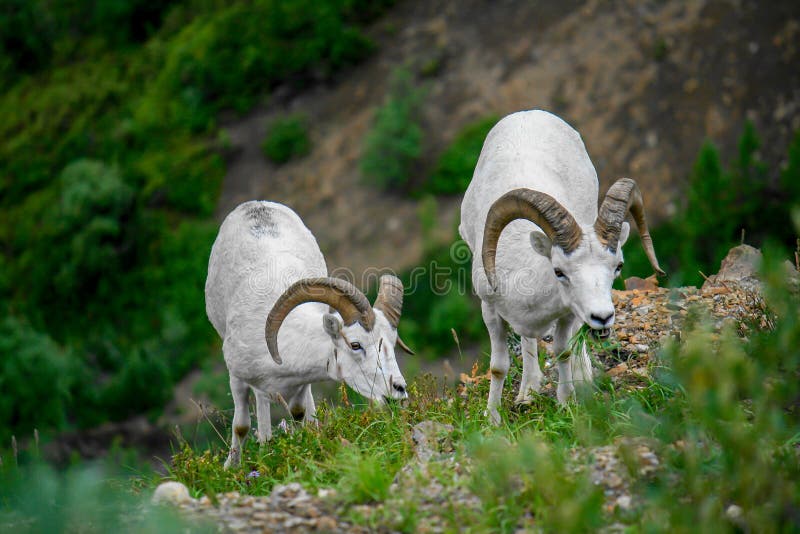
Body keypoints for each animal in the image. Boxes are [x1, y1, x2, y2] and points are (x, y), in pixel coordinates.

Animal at [205, 200, 413, 467]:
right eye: (355, 344)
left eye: (391, 343)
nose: (398, 390)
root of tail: (255, 204)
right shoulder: (238, 378)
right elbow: (241, 426)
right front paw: (233, 468)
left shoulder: (301, 384)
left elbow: (298, 412)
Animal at [458, 110, 664, 424]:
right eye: (559, 271)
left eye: (618, 266)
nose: (603, 317)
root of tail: (529, 113)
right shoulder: (491, 311)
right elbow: (499, 366)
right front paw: (492, 418)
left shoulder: (567, 314)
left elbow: (563, 353)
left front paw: (567, 404)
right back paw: (527, 392)